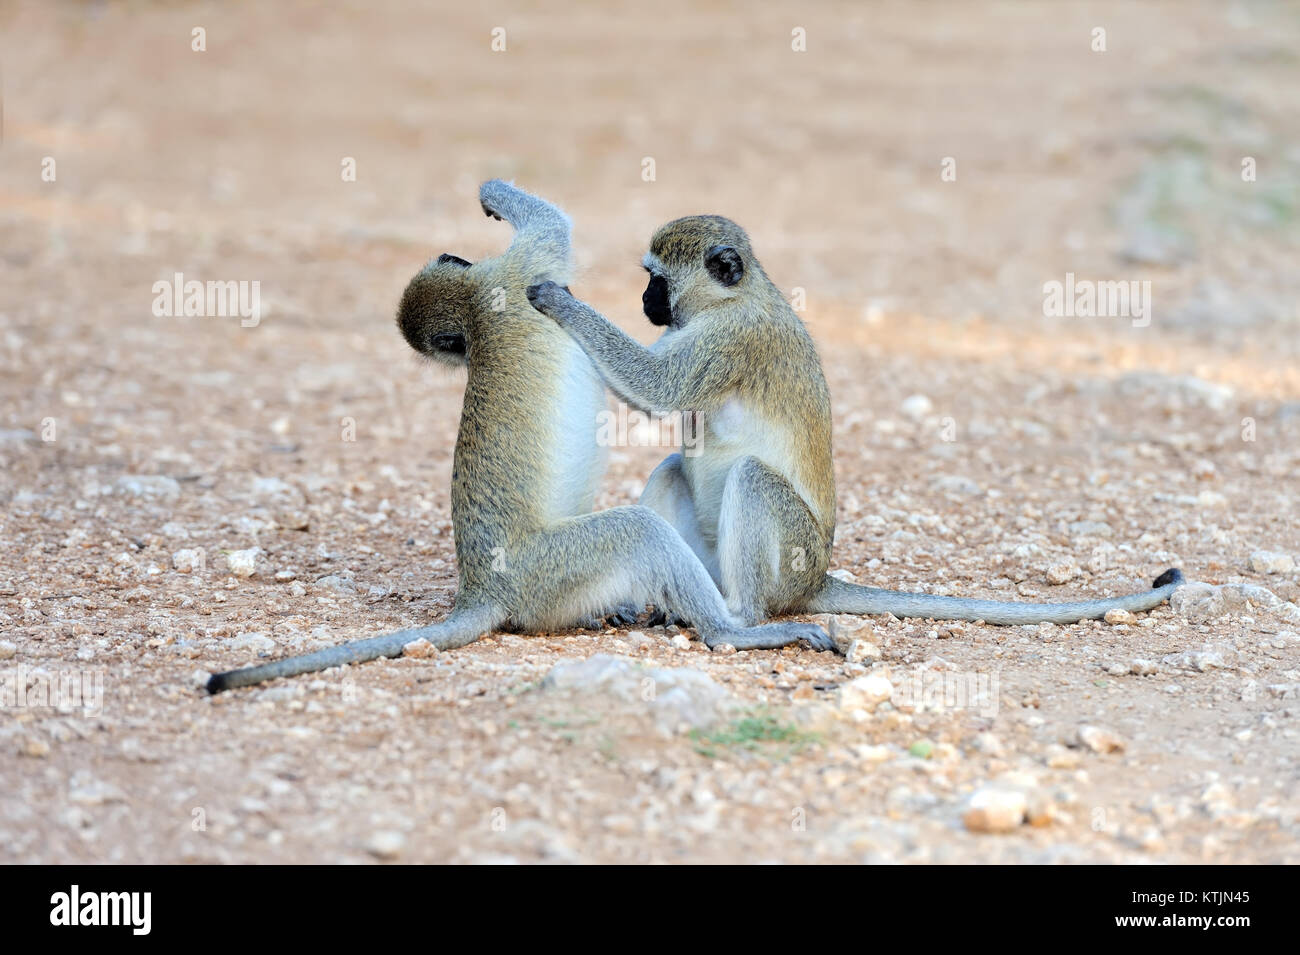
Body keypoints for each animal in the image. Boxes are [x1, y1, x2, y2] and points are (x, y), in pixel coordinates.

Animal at [205, 187, 831, 693]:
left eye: (657, 280)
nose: (646, 301)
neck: (473, 306)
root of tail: (482, 590)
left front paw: (497, 207)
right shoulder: (519, 266)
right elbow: (557, 235)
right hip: (548, 571)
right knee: (642, 525)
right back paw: (721, 631)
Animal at [525, 214, 1185, 630]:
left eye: (656, 280)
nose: (644, 303)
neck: (733, 300)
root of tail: (816, 579)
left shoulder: (734, 340)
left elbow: (658, 390)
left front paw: (557, 299)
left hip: (790, 562)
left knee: (754, 481)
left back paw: (741, 620)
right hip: (709, 558)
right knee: (670, 471)